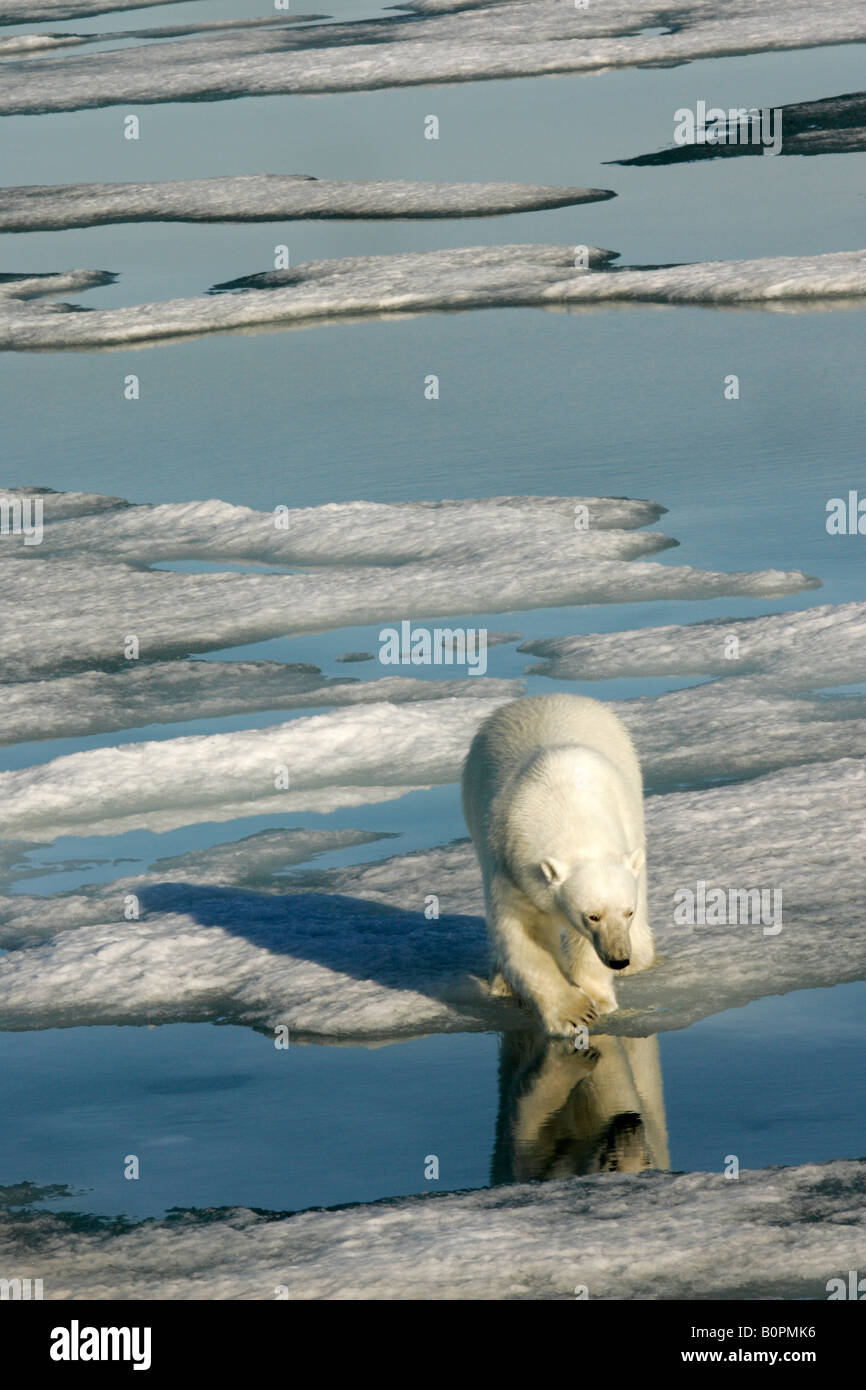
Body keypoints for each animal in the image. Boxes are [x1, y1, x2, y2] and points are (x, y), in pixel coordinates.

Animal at [461, 693, 654, 1039]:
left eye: (627, 912)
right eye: (592, 915)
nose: (618, 959)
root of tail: (544, 696)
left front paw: (597, 999)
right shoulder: (510, 860)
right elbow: (526, 933)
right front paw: (574, 1013)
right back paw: (501, 983)